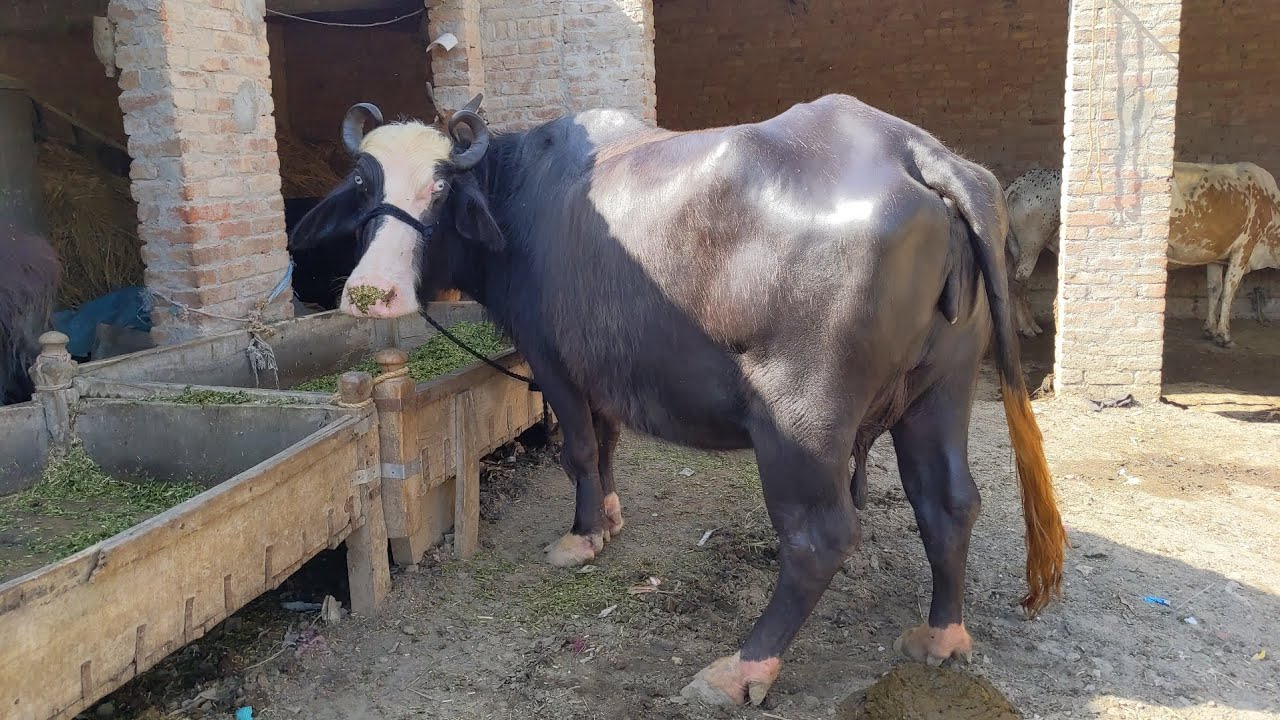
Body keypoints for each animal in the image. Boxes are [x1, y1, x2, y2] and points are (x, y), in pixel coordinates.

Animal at [288, 93, 1067, 706]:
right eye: (363, 184)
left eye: (443, 188)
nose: (370, 294)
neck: (524, 198)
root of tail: (915, 151)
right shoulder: (602, 371)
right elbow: (604, 443)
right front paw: (607, 515)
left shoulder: (553, 361)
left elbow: (577, 449)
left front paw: (581, 536)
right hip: (941, 390)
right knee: (949, 502)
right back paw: (941, 635)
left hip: (801, 422)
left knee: (820, 536)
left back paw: (743, 667)